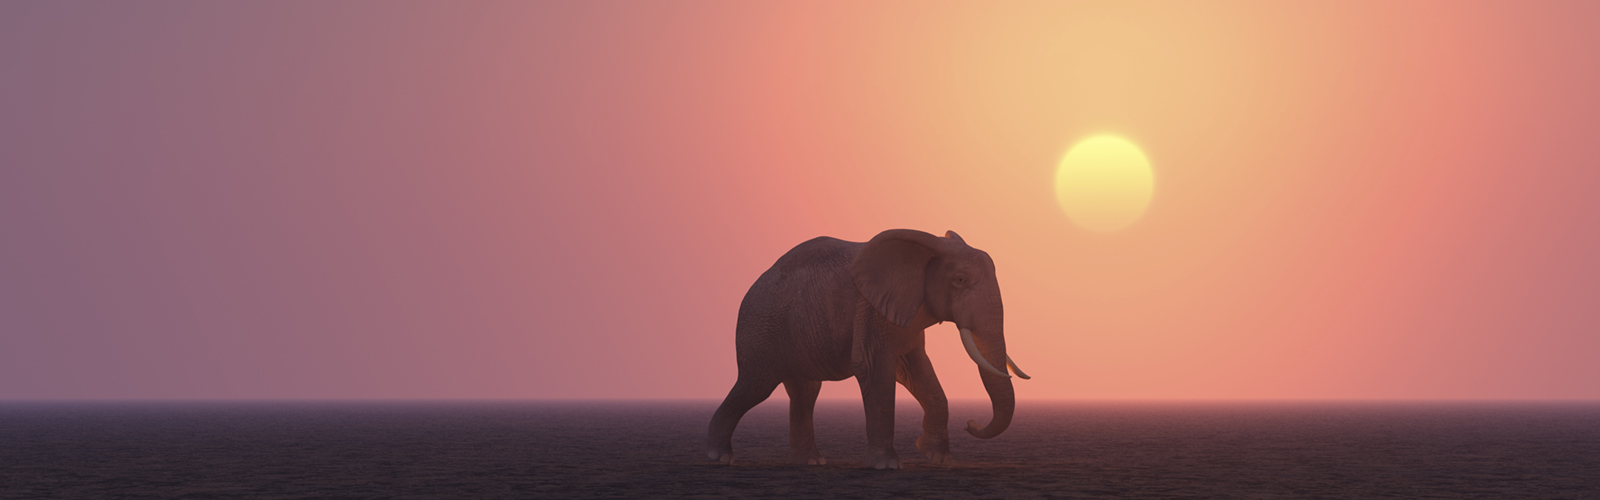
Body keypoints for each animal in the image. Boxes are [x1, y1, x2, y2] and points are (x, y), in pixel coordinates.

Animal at [706, 229, 1029, 469]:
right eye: (960, 280)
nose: (970, 423)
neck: (927, 244)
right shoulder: (871, 311)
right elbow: (875, 370)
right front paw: (887, 466)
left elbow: (917, 371)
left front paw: (935, 457)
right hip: (761, 330)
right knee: (755, 386)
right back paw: (719, 458)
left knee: (805, 392)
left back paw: (810, 462)